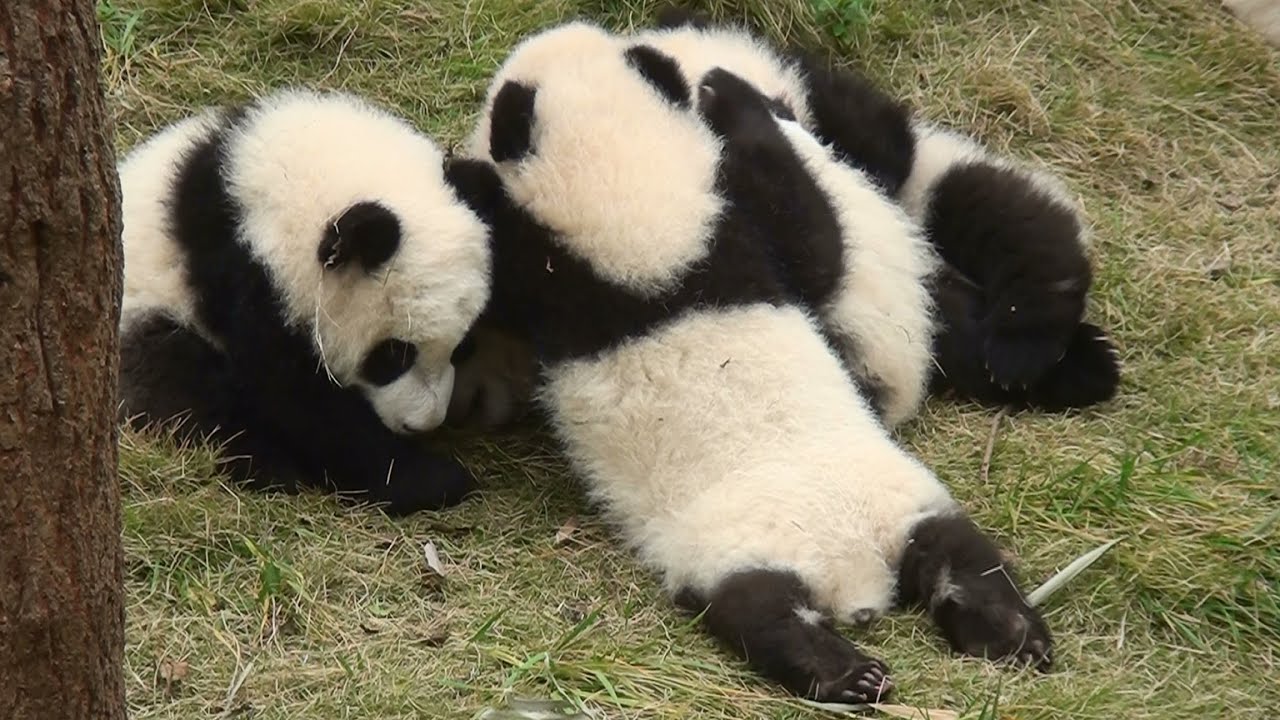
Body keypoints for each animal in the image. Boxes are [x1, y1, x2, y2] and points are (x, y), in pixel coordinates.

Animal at [117, 88, 494, 516]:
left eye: (463, 346)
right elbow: (301, 402)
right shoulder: (246, 279)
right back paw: (266, 465)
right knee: (184, 387)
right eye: (393, 355)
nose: (422, 424)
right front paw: (428, 479)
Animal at [447, 22, 1051, 703]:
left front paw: (725, 91)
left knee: (799, 602)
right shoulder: (723, 232)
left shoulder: (650, 243)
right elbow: (814, 243)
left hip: (832, 513)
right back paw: (957, 644)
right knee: (911, 567)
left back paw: (922, 655)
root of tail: (855, 580)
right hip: (819, 526)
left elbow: (812, 236)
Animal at [632, 6, 1121, 414]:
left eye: (782, 106)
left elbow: (881, 143)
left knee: (1014, 226)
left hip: (940, 190)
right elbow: (805, 249)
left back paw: (1033, 354)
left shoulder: (823, 96)